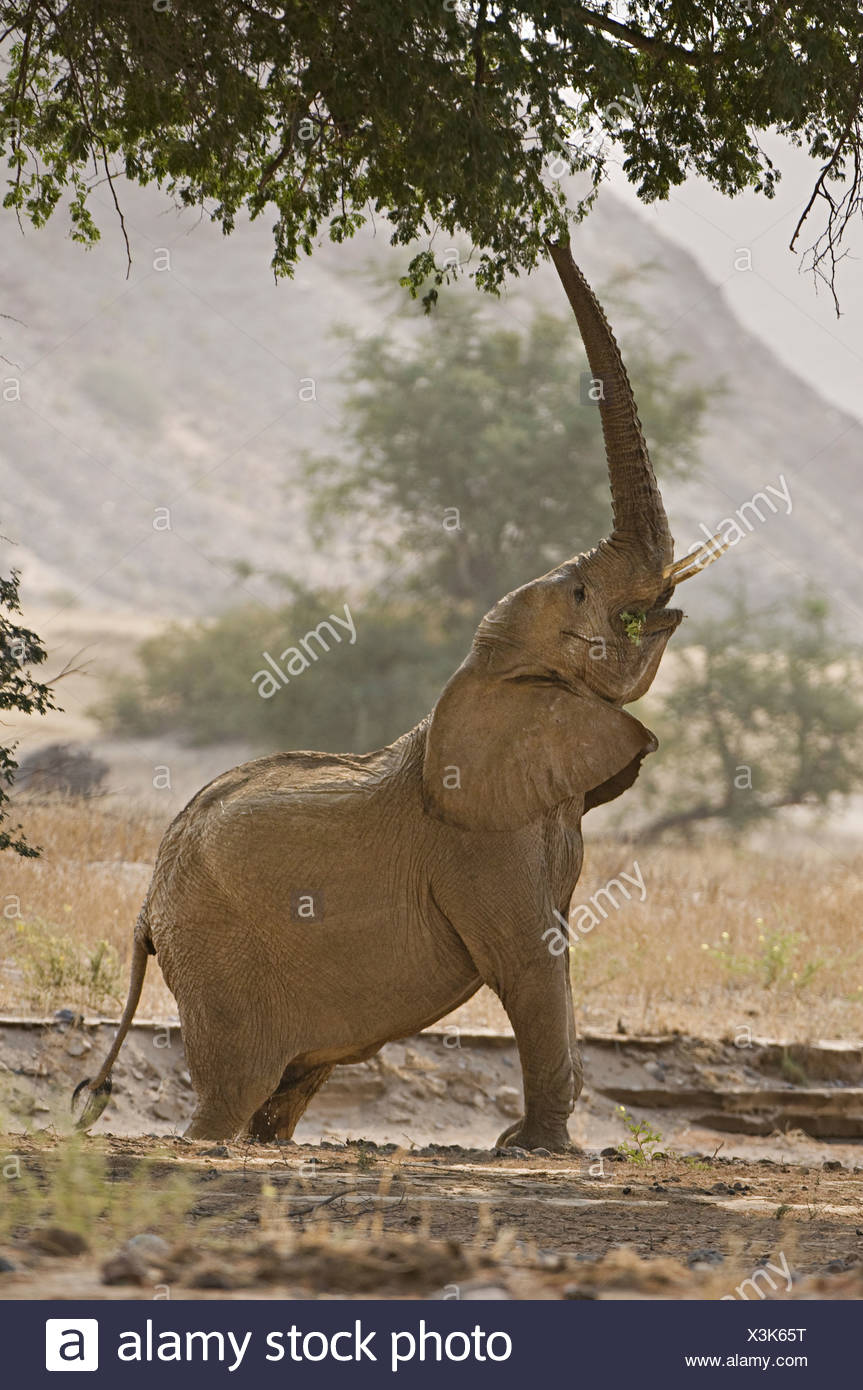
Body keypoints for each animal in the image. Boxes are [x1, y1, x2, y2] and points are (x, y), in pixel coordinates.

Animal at [73, 243, 725, 1152]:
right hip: (216, 957)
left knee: (286, 1090)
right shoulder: (478, 841)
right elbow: (532, 959)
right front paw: (534, 1150)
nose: (556, 230)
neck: (486, 678)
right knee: (231, 1093)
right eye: (580, 592)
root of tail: (145, 908)